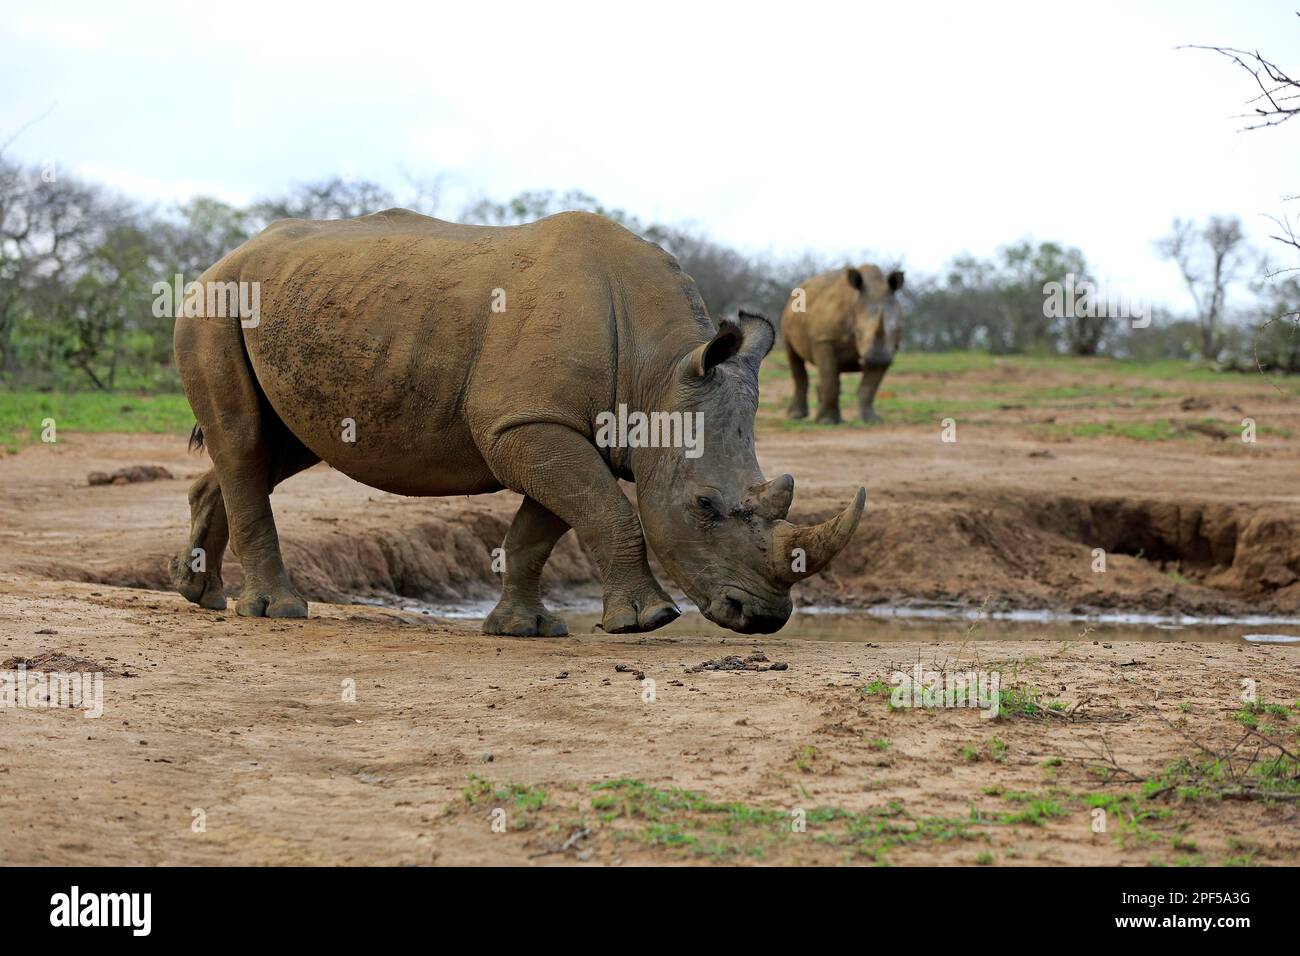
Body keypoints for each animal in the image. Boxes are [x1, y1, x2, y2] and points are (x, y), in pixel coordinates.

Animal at [169, 209, 865, 636]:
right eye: (704, 506)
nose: (763, 617)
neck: (660, 371)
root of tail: (225, 257)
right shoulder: (527, 423)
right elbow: (609, 511)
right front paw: (646, 622)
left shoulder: (553, 425)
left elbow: (550, 522)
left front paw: (523, 629)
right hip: (214, 304)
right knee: (245, 440)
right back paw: (276, 612)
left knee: (278, 447)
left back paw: (197, 593)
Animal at [781, 264, 904, 424]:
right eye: (858, 332)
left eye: (897, 330)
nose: (877, 359)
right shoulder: (824, 339)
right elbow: (830, 381)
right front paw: (826, 422)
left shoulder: (888, 350)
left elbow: (869, 387)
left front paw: (872, 420)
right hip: (788, 320)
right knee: (795, 358)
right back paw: (797, 416)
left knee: (833, 372)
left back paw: (835, 419)